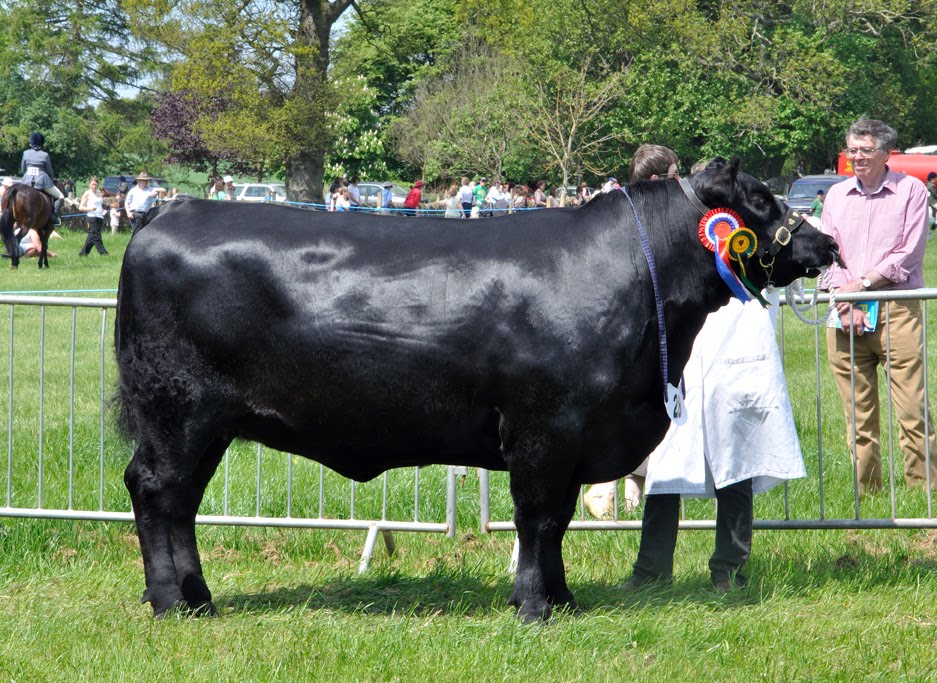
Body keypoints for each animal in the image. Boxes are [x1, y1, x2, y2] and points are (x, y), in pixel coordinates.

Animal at [116, 158, 841, 622]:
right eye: (761, 200)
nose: (827, 242)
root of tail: (168, 213)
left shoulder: (574, 439)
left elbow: (558, 523)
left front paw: (562, 599)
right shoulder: (546, 428)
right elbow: (539, 518)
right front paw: (534, 607)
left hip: (202, 422)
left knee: (179, 502)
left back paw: (193, 597)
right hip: (177, 410)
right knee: (159, 494)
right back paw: (176, 603)